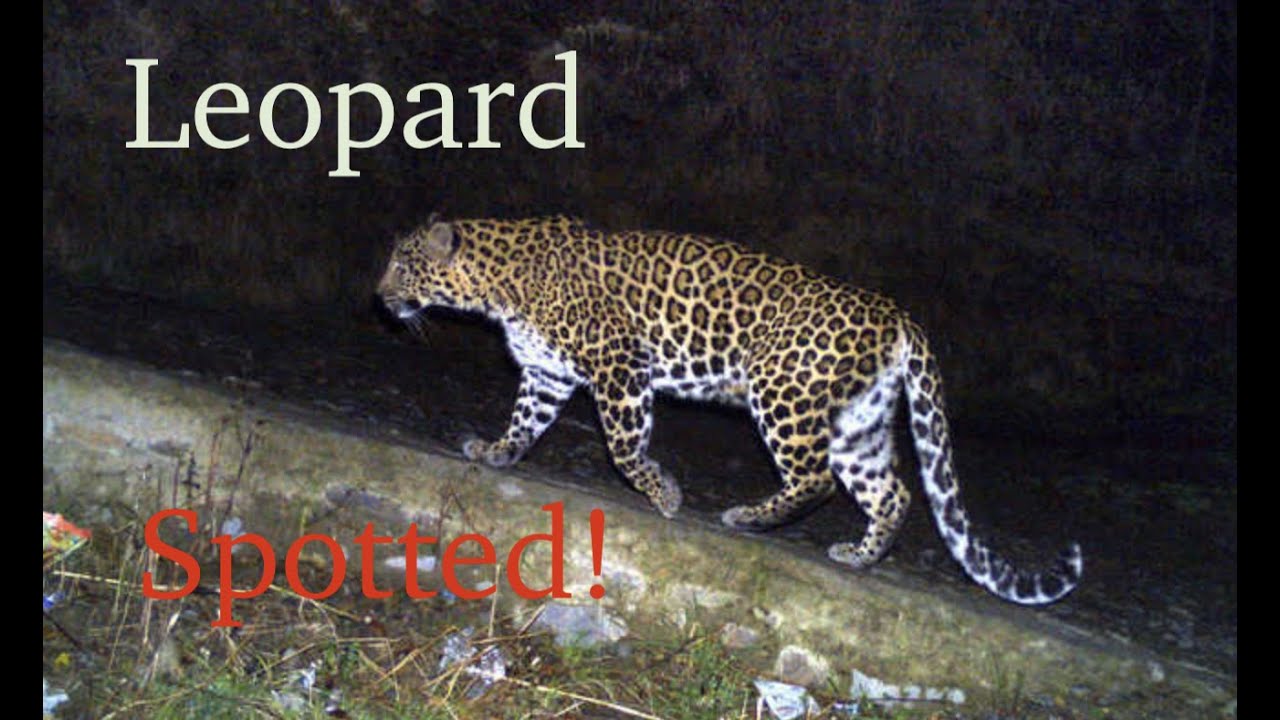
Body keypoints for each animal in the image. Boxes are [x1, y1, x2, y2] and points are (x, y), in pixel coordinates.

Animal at [377, 215, 1083, 604]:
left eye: (402, 266)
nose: (380, 297)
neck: (497, 285)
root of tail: (896, 314)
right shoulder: (547, 374)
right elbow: (524, 420)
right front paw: (496, 452)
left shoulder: (619, 363)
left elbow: (624, 445)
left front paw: (663, 493)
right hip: (859, 423)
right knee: (894, 492)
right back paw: (860, 556)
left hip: (783, 393)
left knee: (816, 478)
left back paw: (748, 516)